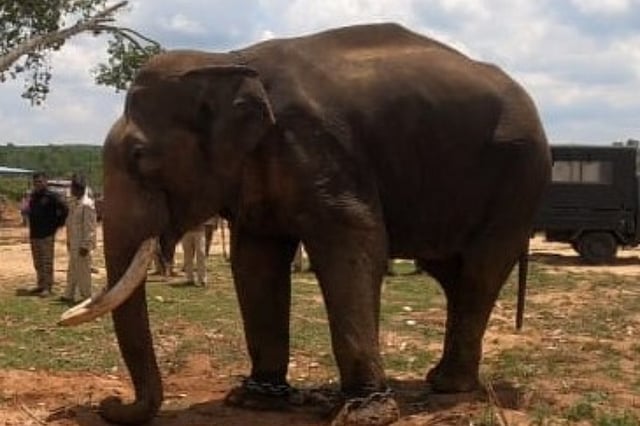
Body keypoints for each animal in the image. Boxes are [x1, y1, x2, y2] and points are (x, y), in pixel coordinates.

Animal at [60, 23, 551, 425]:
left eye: (140, 157)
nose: (109, 404)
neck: (228, 59)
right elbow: (255, 261)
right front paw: (255, 400)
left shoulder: (319, 146)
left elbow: (355, 243)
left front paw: (364, 412)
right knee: (453, 273)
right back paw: (442, 380)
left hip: (519, 178)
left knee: (480, 272)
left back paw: (449, 387)